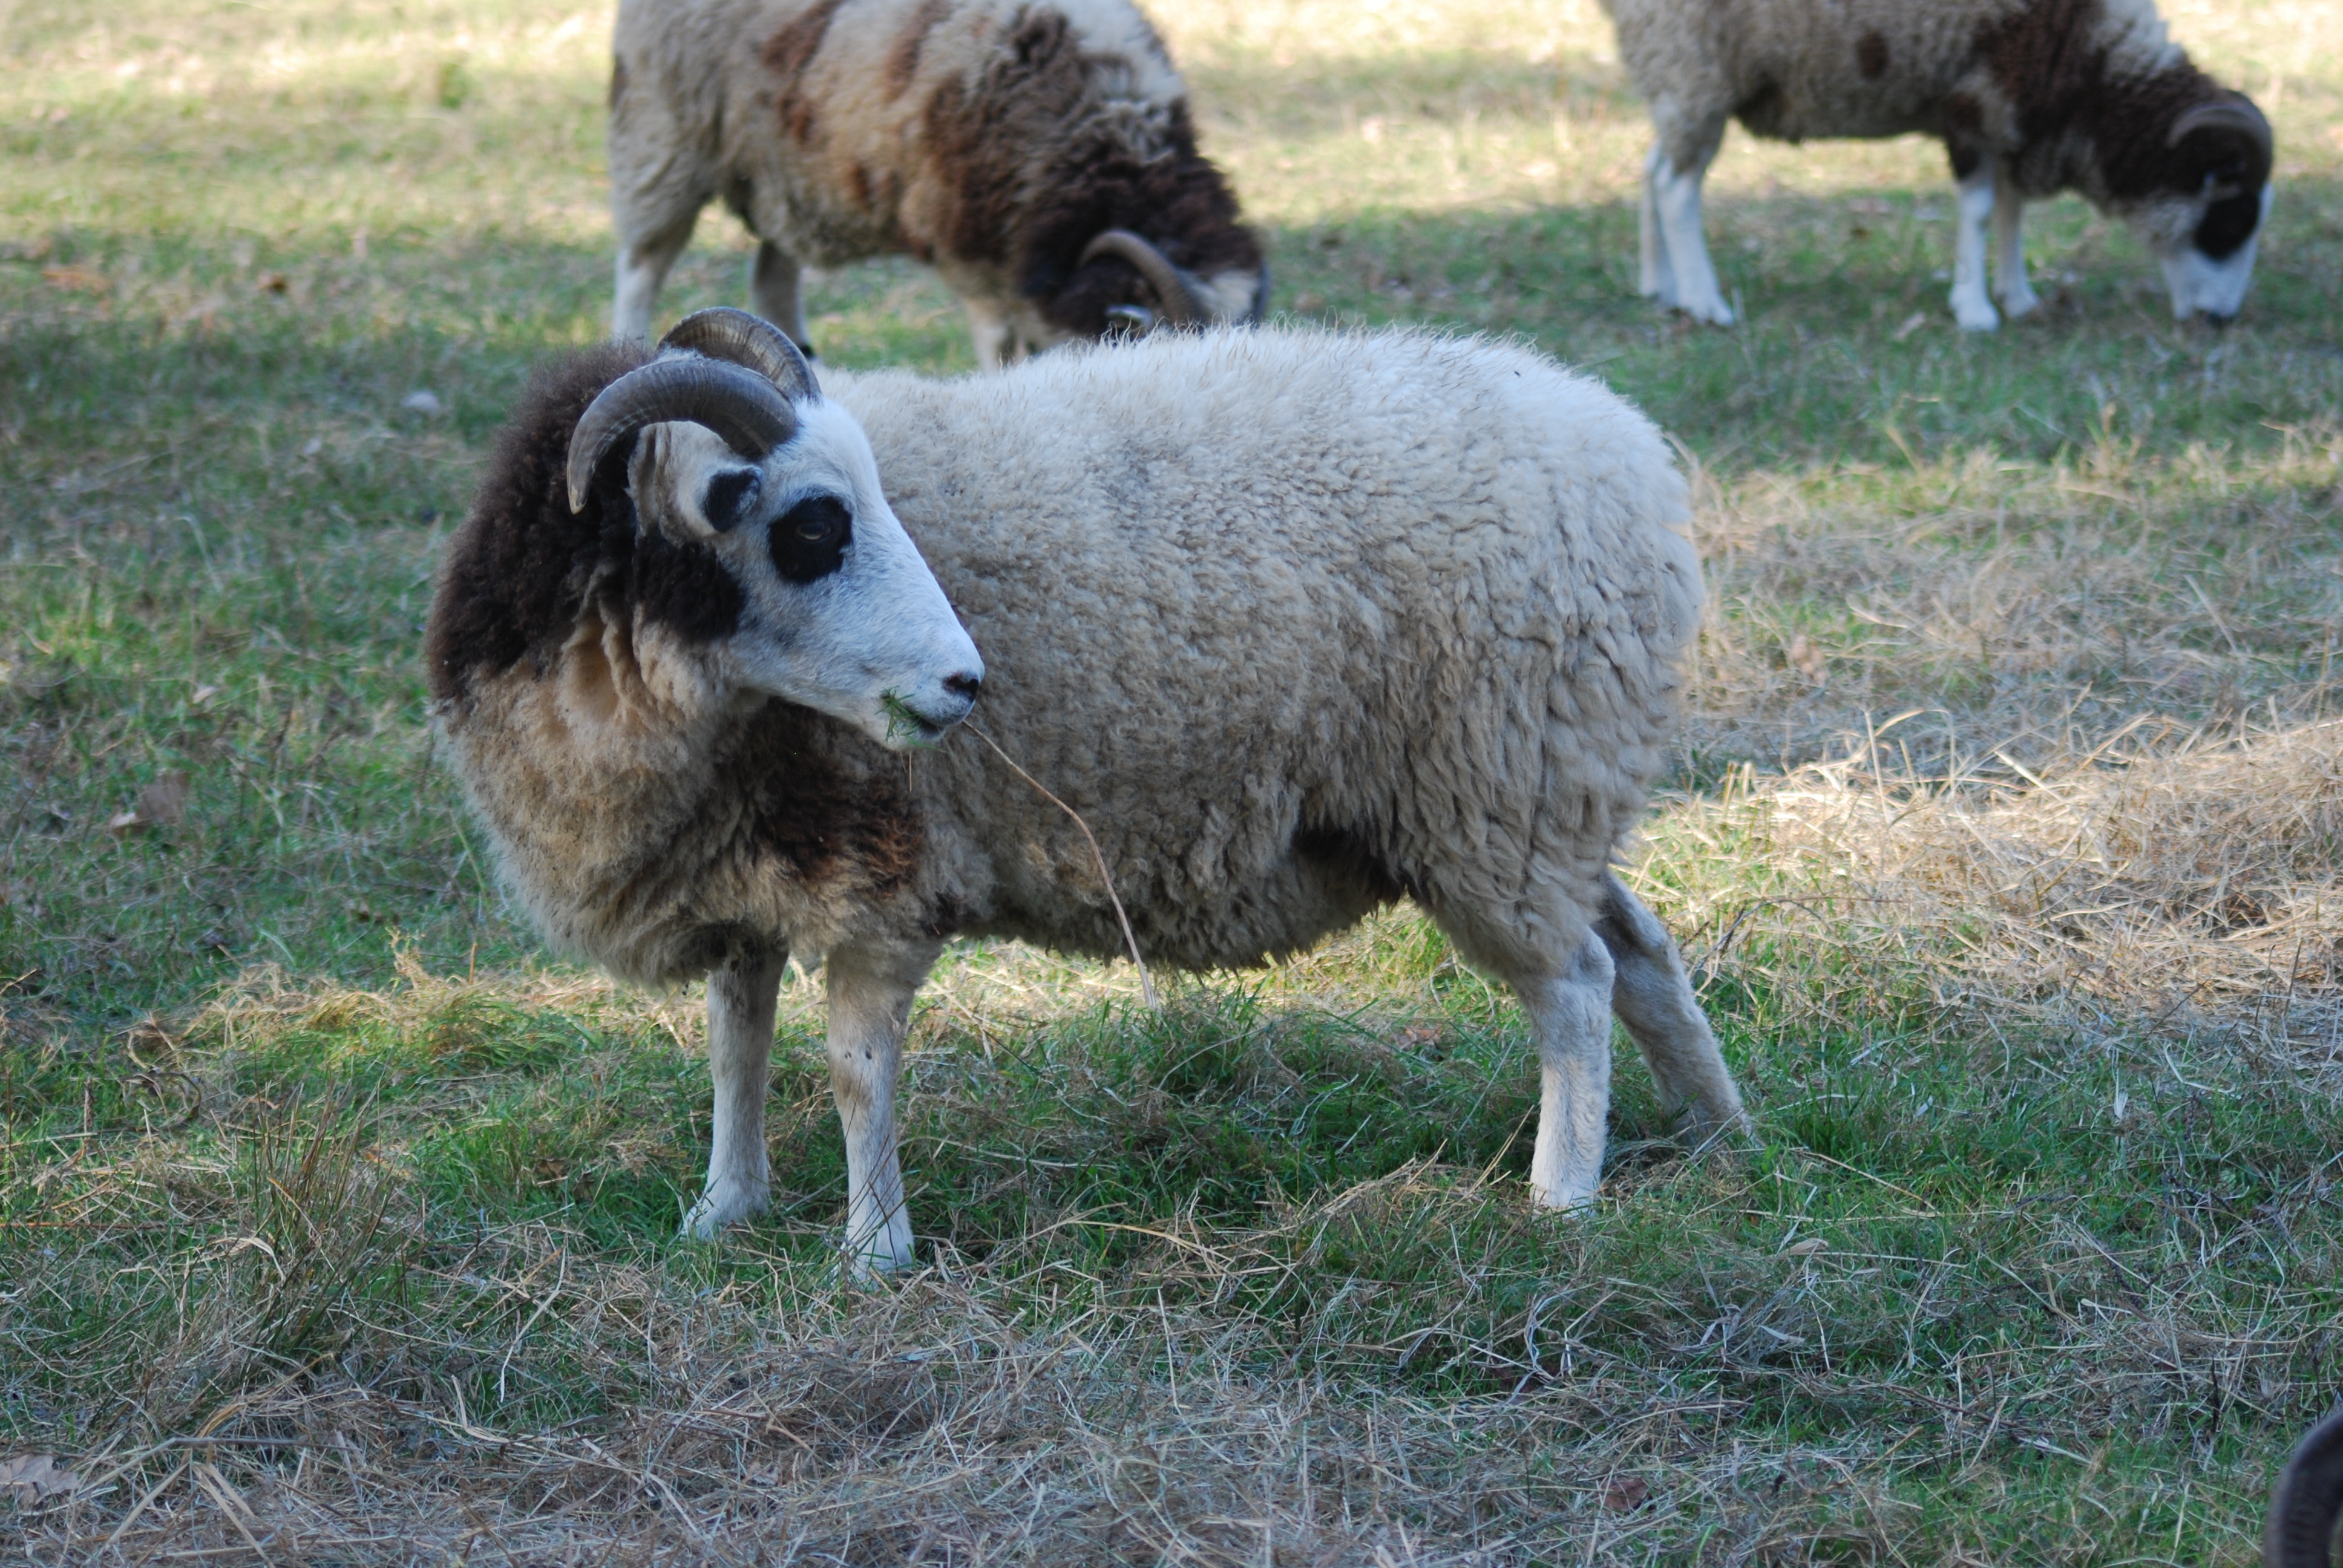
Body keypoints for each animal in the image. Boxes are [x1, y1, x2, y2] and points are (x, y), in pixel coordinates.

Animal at [426, 307, 1749, 1270]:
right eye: (812, 526)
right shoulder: (742, 870)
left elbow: (855, 1068)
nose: (966, 683)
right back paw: (1722, 1135)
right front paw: (724, 1210)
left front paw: (873, 1249)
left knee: (1574, 989)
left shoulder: (884, 874)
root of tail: (1638, 470)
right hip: (1548, 803)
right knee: (1639, 951)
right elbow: (732, 1047)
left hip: (1493, 795)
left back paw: (1559, 1200)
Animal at [607, 0, 1268, 367]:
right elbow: (1000, 346)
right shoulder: (970, 250)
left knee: (771, 277)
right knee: (642, 269)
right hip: (659, 138)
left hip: (785, 177)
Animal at [1599, 0, 2275, 330]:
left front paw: (2017, 297)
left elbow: (2010, 210)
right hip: (1692, 61)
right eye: (2232, 219)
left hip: (1677, 78)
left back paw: (1660, 285)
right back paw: (1704, 303)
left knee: (1653, 167)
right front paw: (1974, 310)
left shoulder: (2012, 114)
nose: (2222, 322)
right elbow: (1978, 211)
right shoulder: (1972, 98)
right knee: (1677, 186)